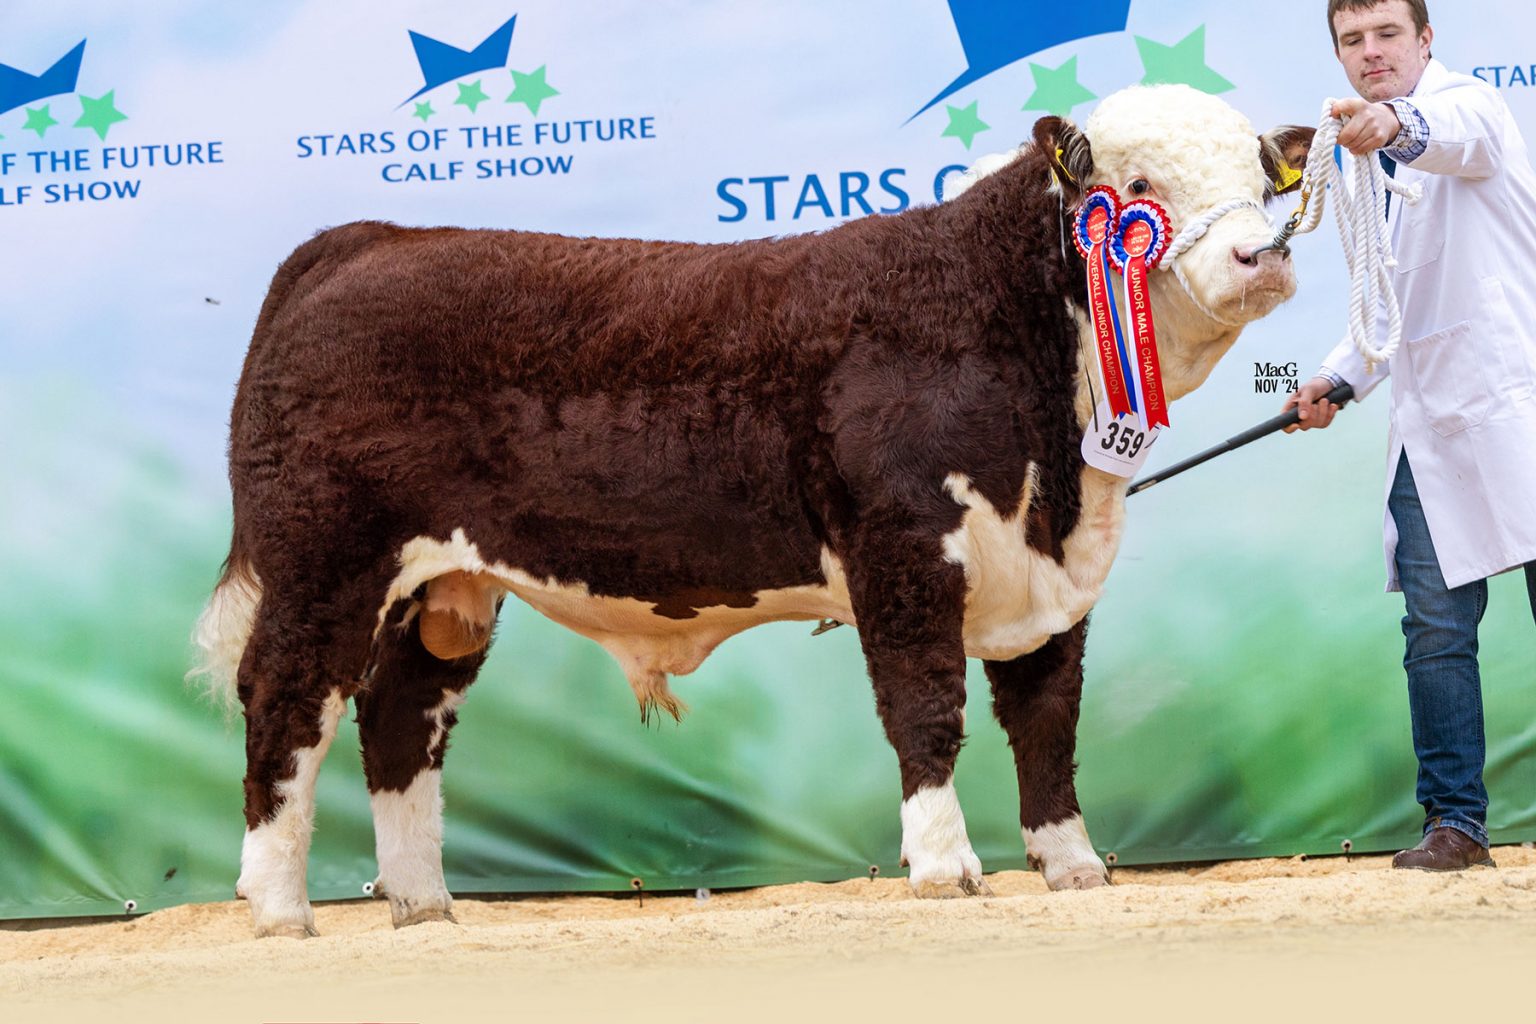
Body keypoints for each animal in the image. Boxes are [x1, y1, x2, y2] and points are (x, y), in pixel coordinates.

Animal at [193, 83, 1313, 937]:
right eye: (1140, 187)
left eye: (1261, 180)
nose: (1263, 257)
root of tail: (366, 240)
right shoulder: (903, 550)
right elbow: (927, 708)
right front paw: (945, 867)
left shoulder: (1048, 573)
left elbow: (1047, 717)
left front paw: (1073, 864)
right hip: (326, 563)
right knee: (286, 701)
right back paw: (279, 905)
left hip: (444, 591)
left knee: (400, 719)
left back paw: (425, 904)